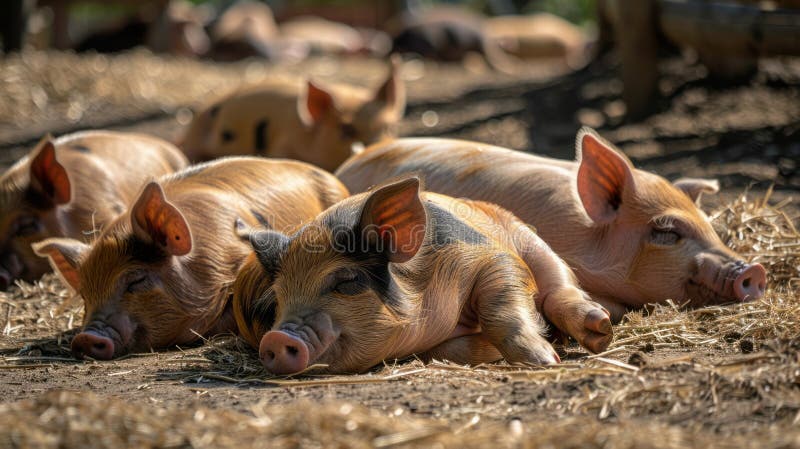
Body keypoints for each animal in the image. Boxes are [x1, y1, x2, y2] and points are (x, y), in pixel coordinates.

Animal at [233, 176, 614, 374]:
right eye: (277, 300)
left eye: (347, 281)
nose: (277, 338)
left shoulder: (490, 257)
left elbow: (500, 306)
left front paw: (544, 361)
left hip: (528, 237)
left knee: (559, 284)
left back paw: (598, 331)